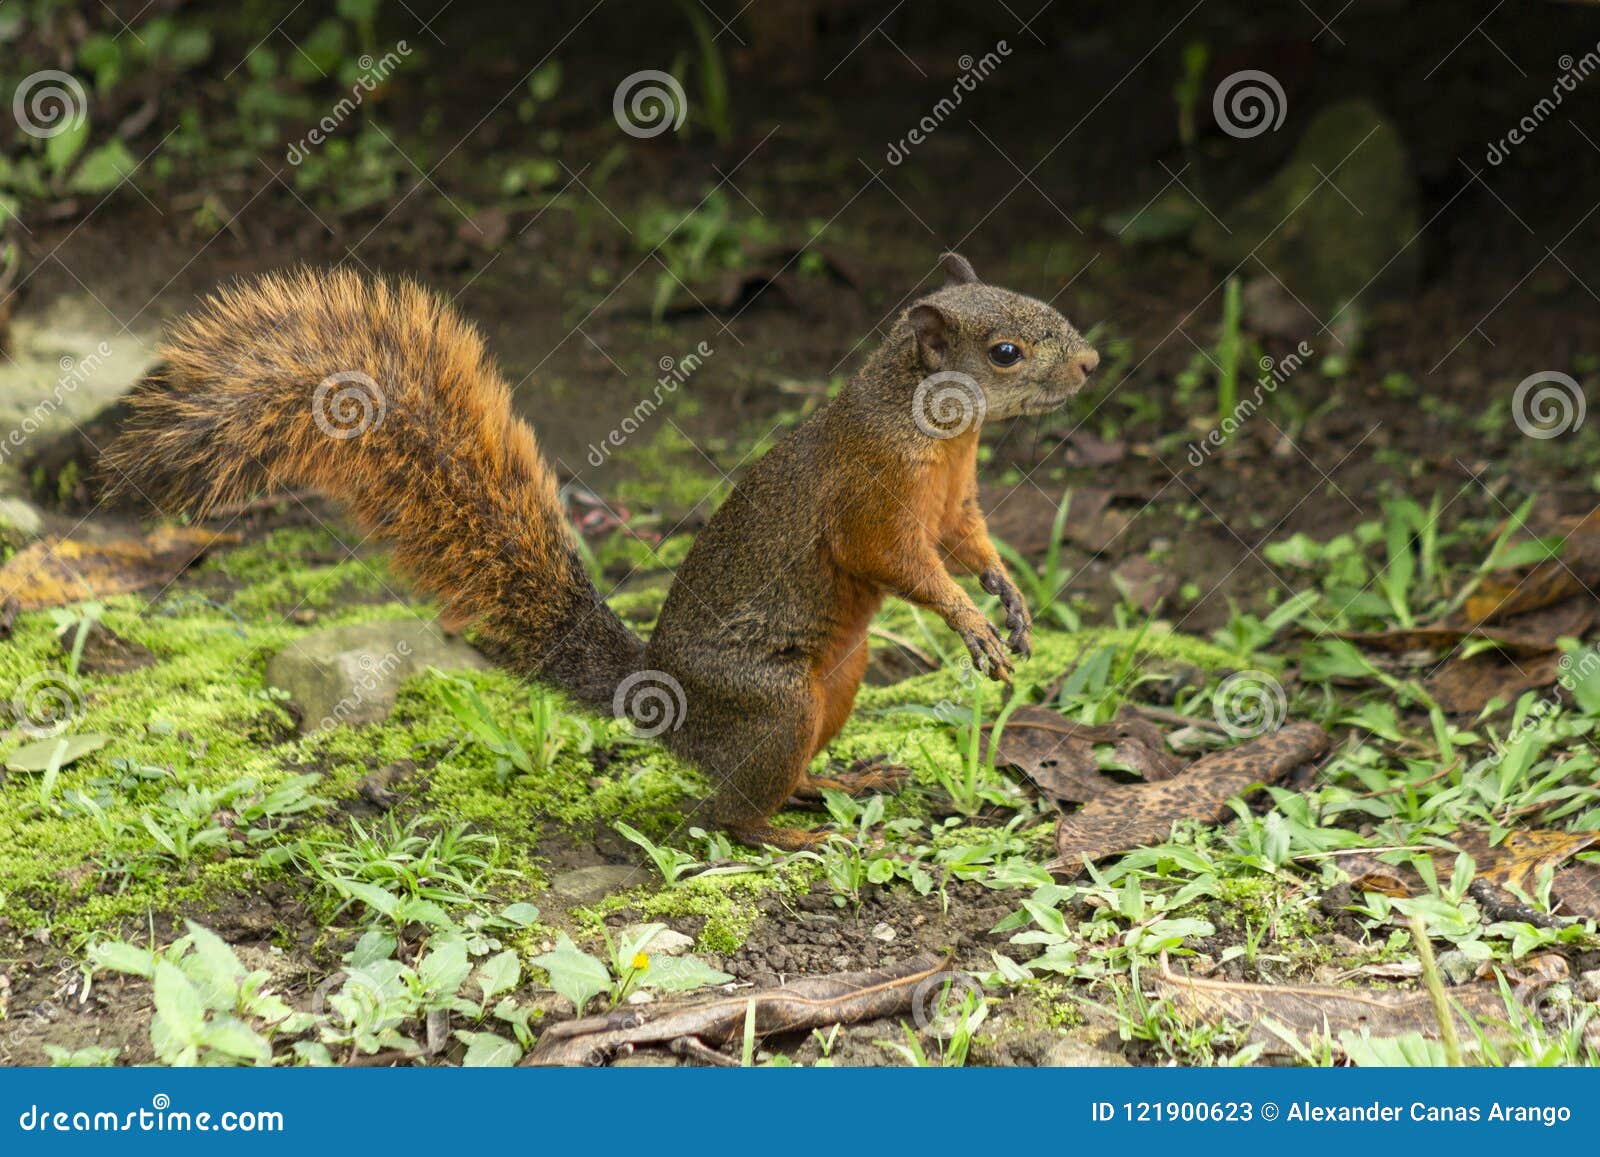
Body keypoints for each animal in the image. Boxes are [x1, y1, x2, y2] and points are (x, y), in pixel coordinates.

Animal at [103, 251, 1098, 849]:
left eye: (1046, 306)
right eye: (1006, 352)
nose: (1091, 365)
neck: (932, 427)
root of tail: (660, 702)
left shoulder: (954, 501)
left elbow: (969, 542)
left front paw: (1007, 597)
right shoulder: (873, 502)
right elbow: (905, 564)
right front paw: (972, 624)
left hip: (837, 681)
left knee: (777, 774)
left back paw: (840, 777)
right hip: (772, 704)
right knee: (723, 812)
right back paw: (786, 833)